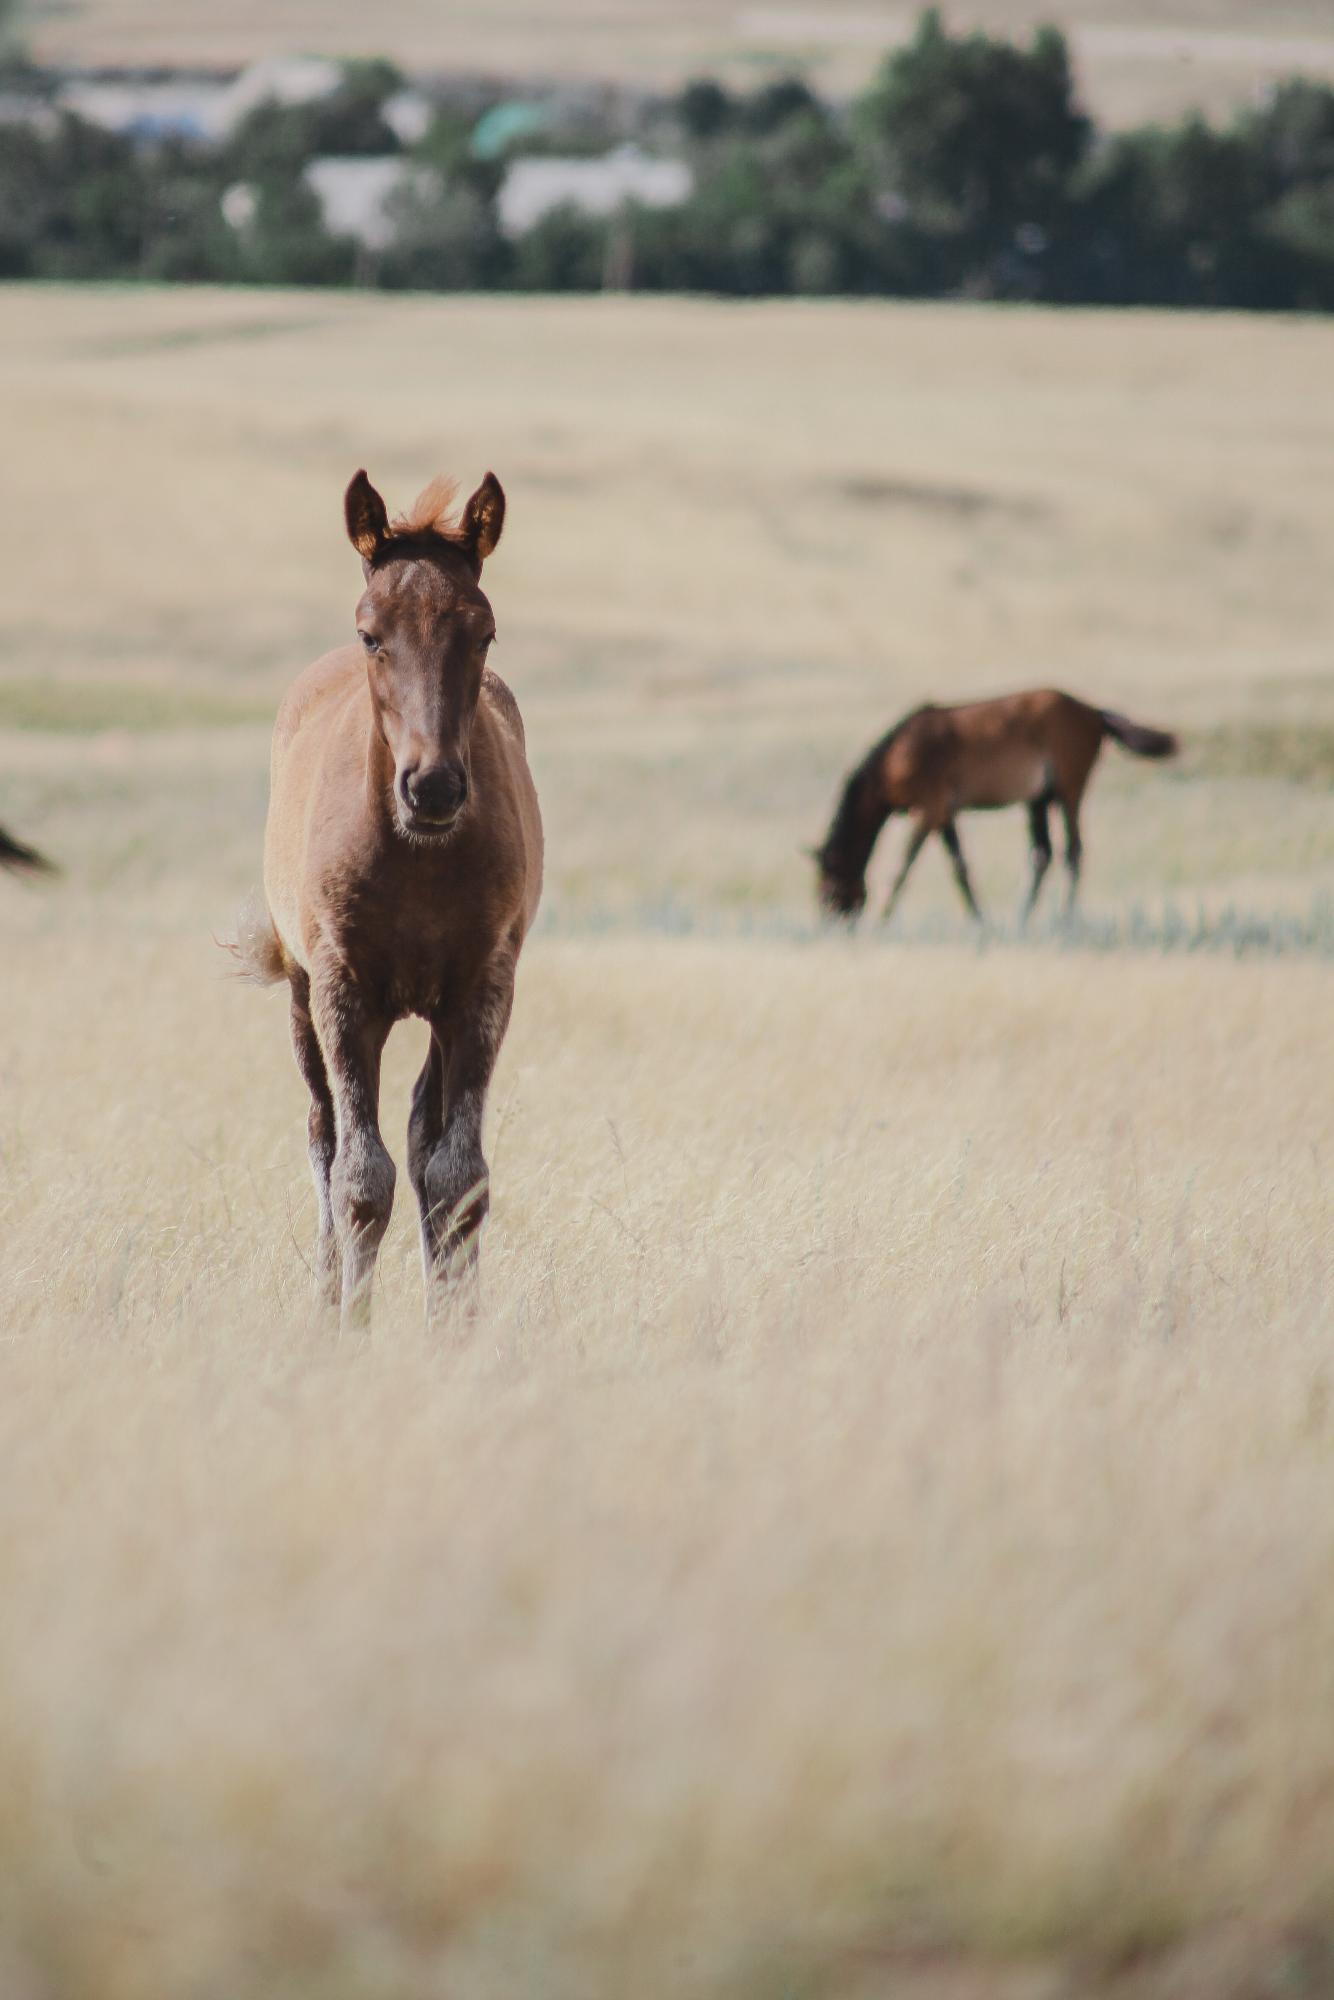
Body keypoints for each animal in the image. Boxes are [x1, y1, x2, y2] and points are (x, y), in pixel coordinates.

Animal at [236, 460, 544, 1320]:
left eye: (483, 632)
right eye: (372, 633)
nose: (431, 787)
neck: (419, 860)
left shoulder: (481, 991)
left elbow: (457, 1175)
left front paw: (455, 1327)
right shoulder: (342, 990)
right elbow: (360, 1178)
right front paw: (350, 1328)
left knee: (422, 1138)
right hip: (303, 995)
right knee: (325, 1135)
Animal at [816, 692, 1176, 924]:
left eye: (829, 887)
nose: (832, 924)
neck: (895, 758)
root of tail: (1093, 711)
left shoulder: (929, 810)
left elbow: (902, 866)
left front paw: (884, 917)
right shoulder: (945, 814)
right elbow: (960, 867)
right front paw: (980, 918)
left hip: (1069, 790)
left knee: (1073, 851)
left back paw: (1065, 917)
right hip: (1038, 800)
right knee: (1041, 854)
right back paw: (1023, 917)